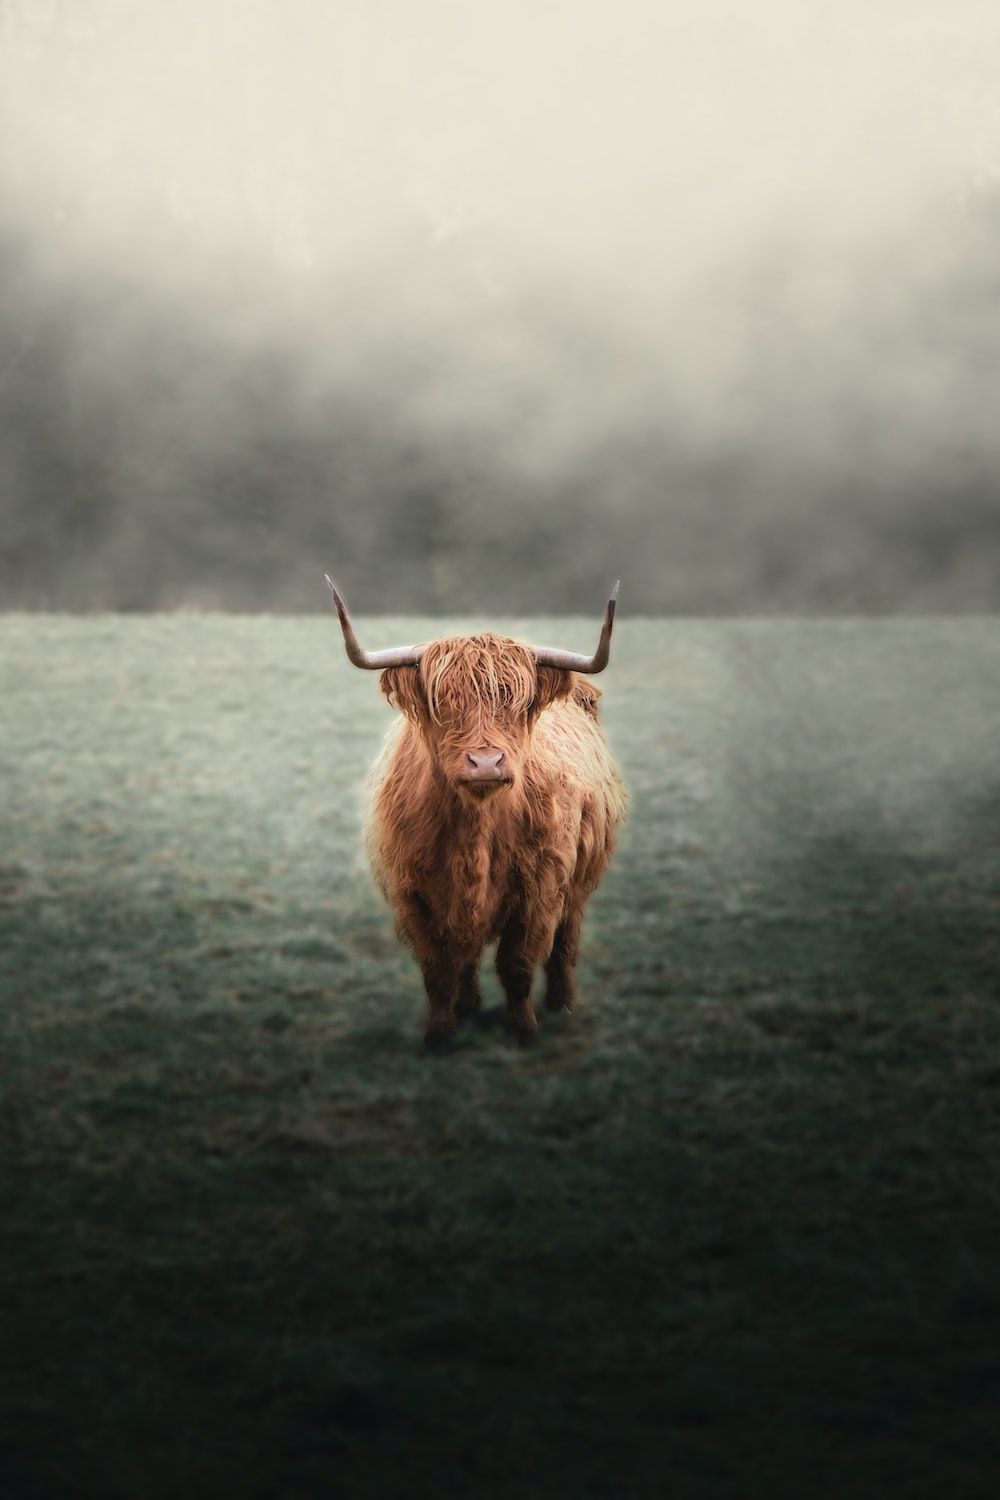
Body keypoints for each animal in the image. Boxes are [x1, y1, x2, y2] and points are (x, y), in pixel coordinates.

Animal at [327, 577, 629, 1047]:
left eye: (518, 704)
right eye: (443, 703)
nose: (486, 763)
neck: (476, 828)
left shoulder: (540, 891)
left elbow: (518, 965)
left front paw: (524, 1029)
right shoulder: (413, 895)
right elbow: (438, 970)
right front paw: (439, 1034)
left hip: (579, 882)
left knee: (566, 942)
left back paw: (561, 1003)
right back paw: (468, 1006)